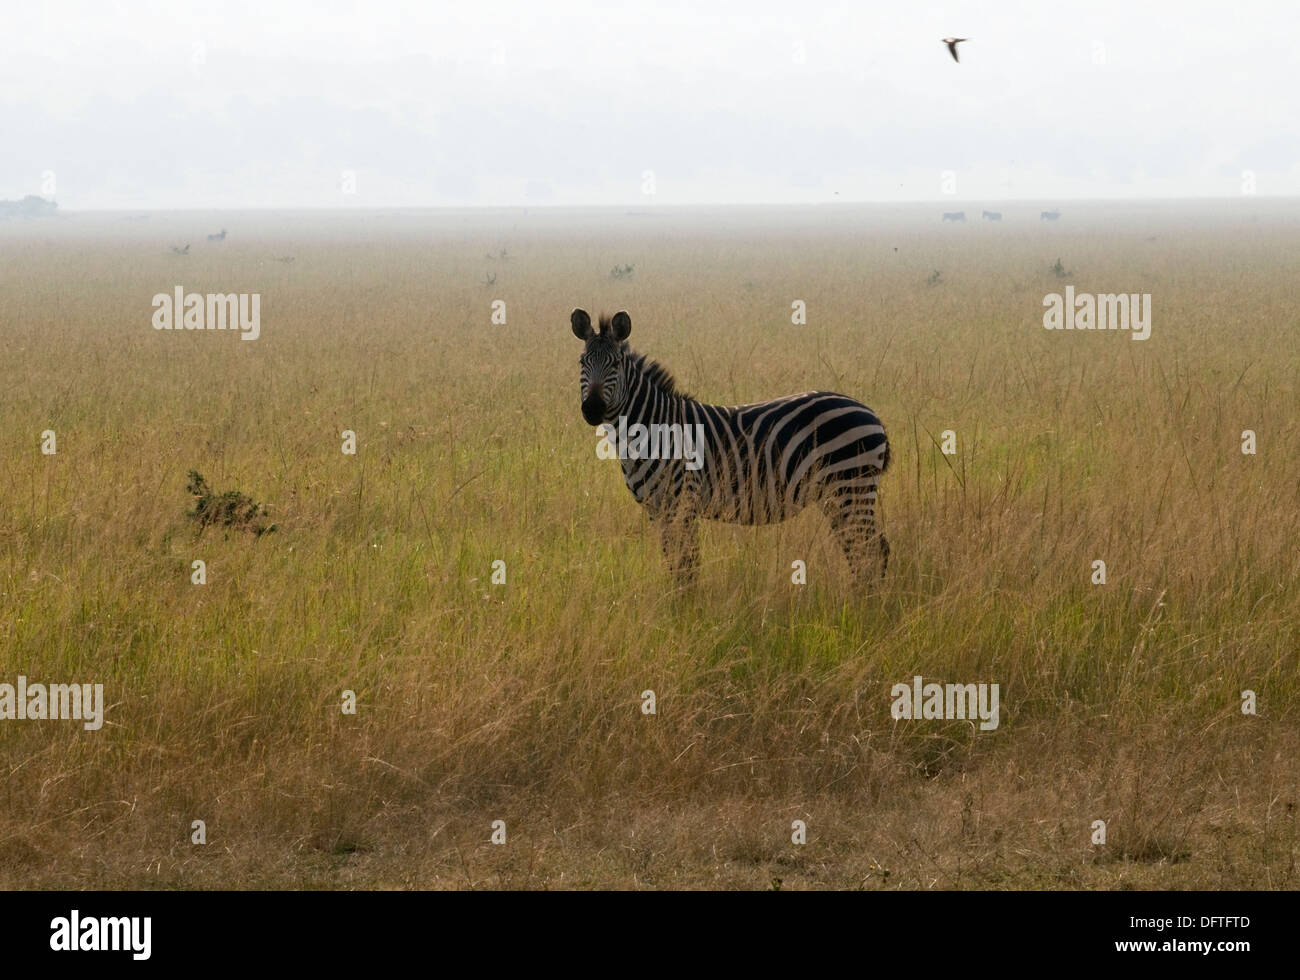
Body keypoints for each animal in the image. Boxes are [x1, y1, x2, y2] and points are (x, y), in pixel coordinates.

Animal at [572, 308, 892, 582]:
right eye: (582, 363)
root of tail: (871, 413)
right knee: (863, 550)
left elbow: (687, 565)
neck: (653, 428)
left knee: (872, 551)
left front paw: (686, 608)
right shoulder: (658, 510)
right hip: (837, 495)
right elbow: (674, 564)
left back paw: (866, 604)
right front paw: (676, 604)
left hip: (851, 486)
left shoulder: (682, 504)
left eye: (615, 364)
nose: (592, 409)